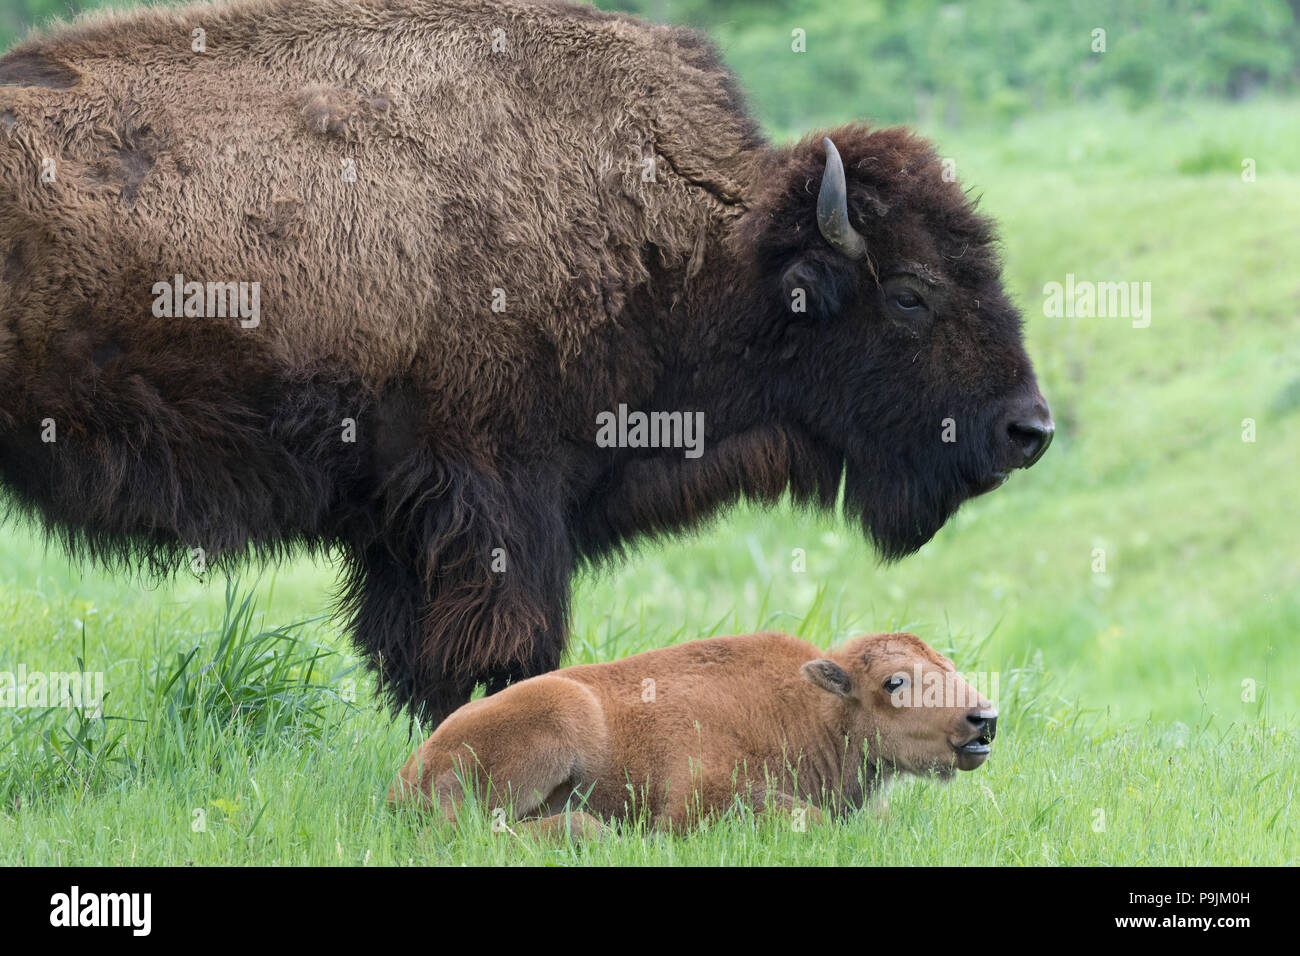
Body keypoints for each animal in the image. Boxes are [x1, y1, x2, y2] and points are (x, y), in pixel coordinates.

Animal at [0, 0, 1053, 723]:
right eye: (911, 292)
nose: (1028, 428)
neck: (694, 240)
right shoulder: (496, 496)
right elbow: (501, 653)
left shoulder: (407, 525)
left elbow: (424, 657)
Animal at [389, 630, 998, 836]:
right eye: (895, 681)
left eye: (948, 666)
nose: (984, 719)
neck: (814, 710)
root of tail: (410, 773)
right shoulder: (698, 799)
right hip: (560, 716)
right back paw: (593, 833)